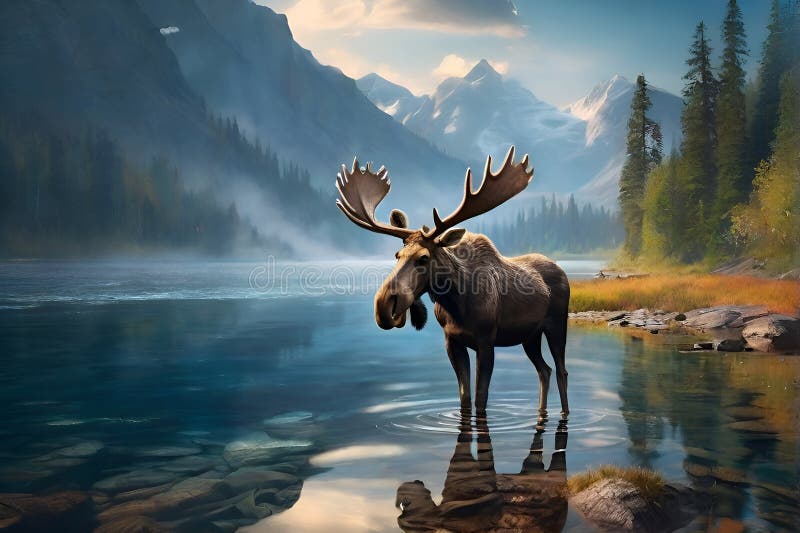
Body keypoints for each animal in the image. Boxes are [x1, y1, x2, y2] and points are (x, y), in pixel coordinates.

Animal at [335, 146, 570, 418]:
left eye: (423, 257)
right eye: (397, 255)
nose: (384, 303)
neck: (458, 302)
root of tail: (561, 270)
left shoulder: (486, 341)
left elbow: (481, 399)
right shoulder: (452, 340)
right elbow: (464, 398)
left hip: (556, 325)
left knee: (561, 371)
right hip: (529, 335)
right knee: (544, 370)